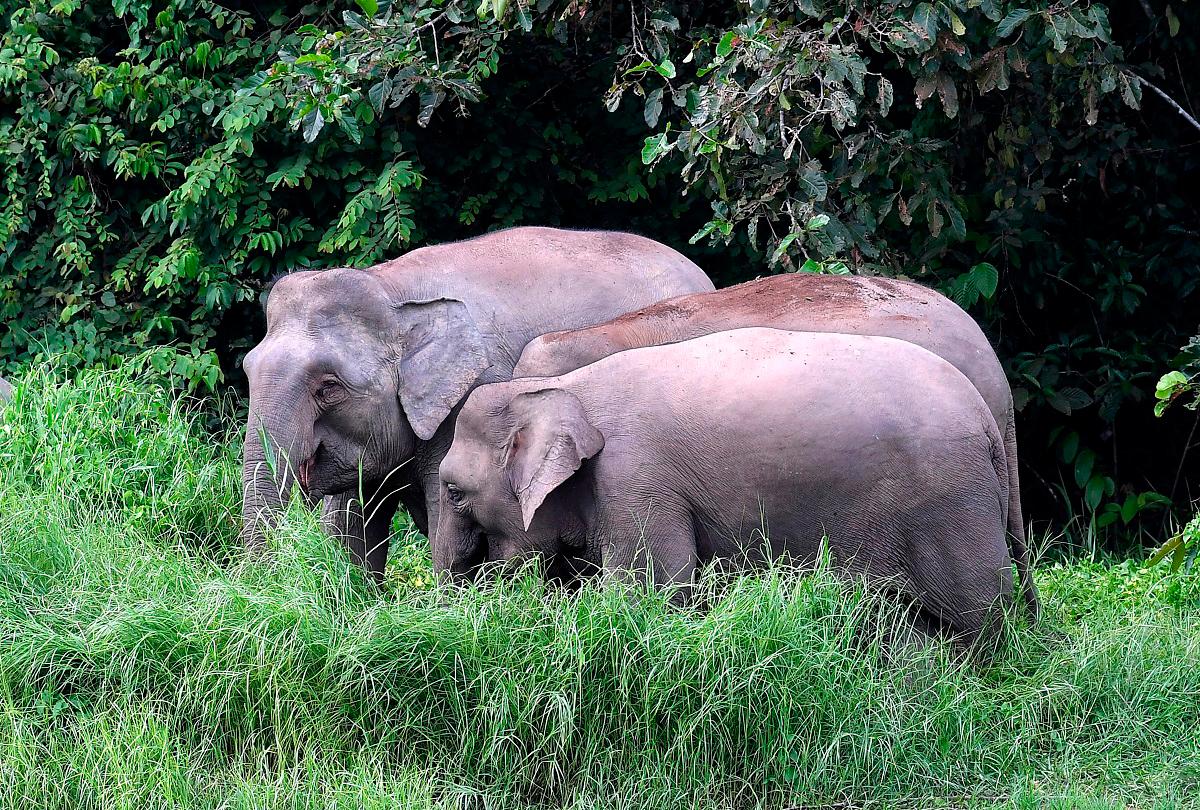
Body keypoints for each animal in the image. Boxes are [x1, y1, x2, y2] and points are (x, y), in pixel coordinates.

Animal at [241, 226, 714, 579]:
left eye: (328, 387)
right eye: (246, 369)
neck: (391, 288)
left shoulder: (467, 400)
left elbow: (441, 514)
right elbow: (350, 523)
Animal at [435, 328, 1016, 646]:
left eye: (455, 492)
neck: (564, 388)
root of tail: (986, 415)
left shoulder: (636, 479)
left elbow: (650, 594)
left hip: (949, 504)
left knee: (979, 614)